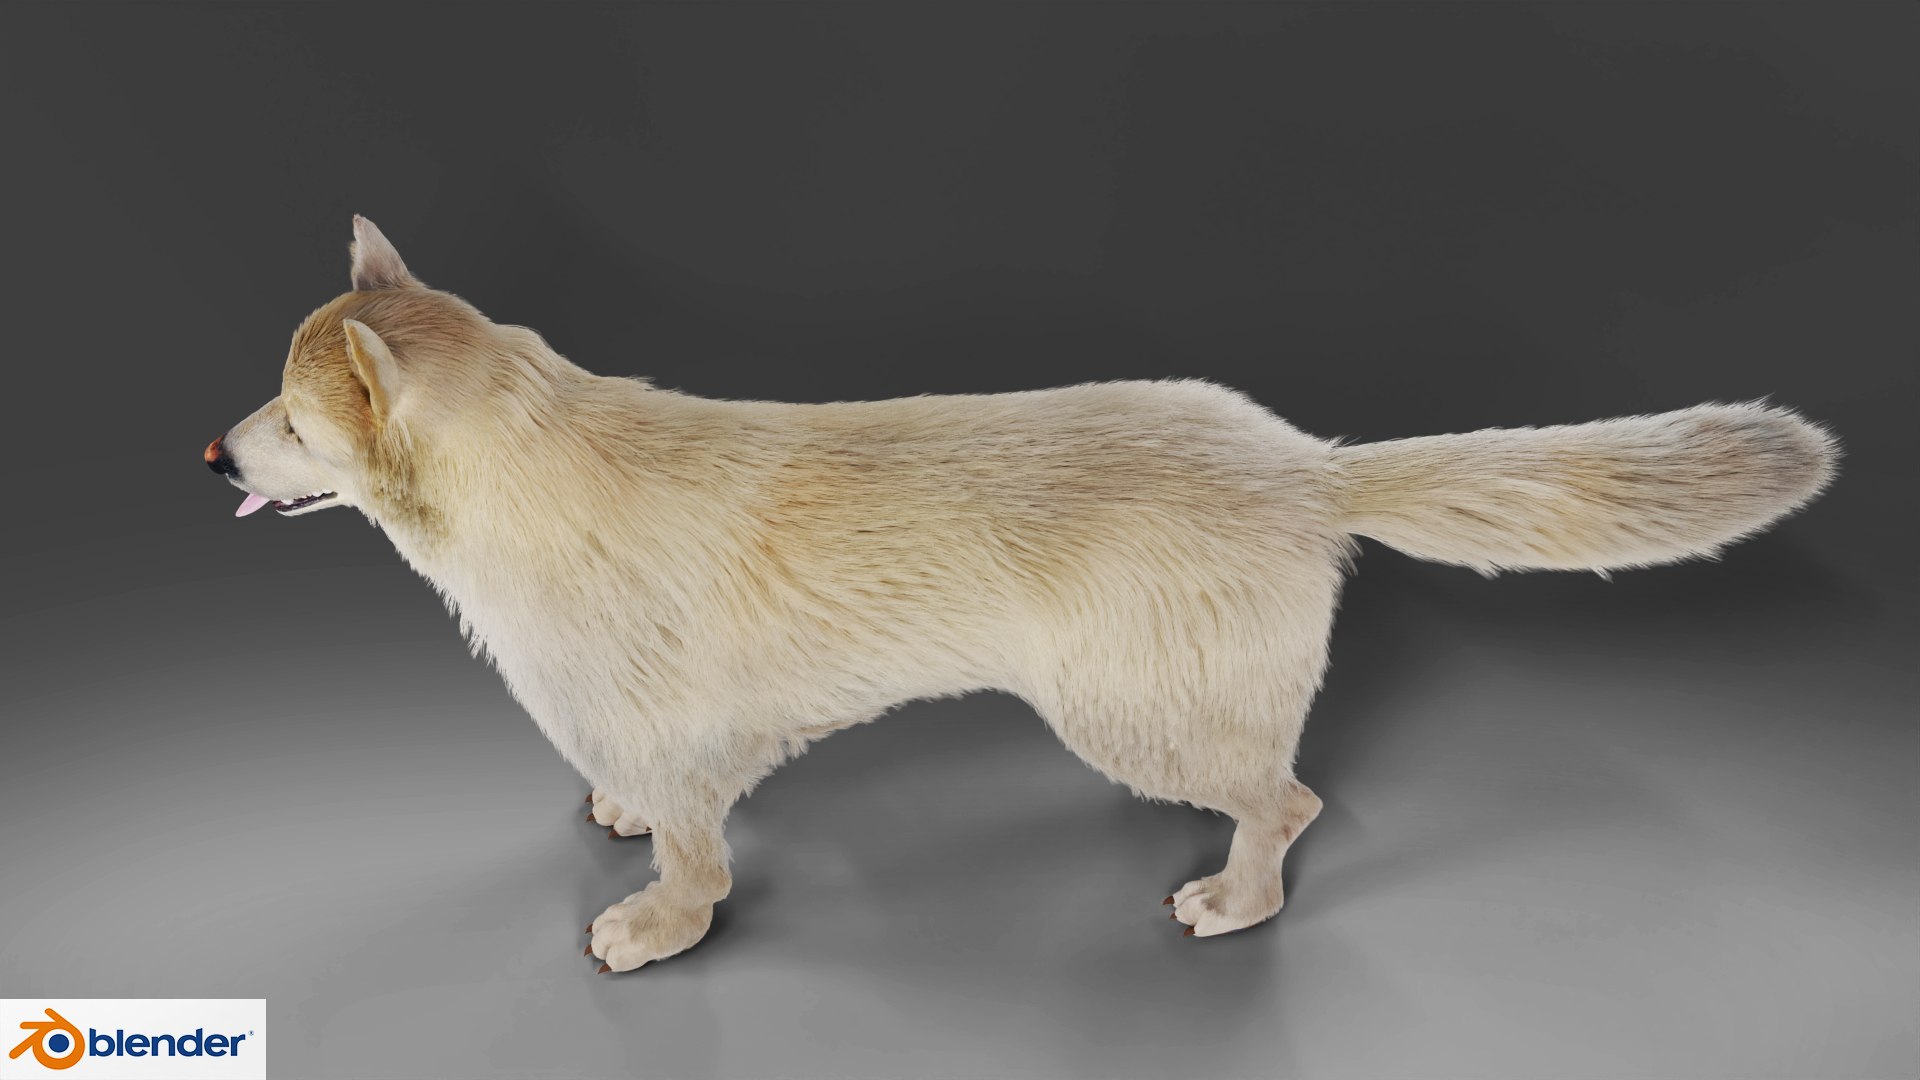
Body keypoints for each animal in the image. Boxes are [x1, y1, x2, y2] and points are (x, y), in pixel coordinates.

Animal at [203, 216, 1837, 972]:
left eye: (290, 414)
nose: (210, 450)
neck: (540, 473)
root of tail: (1305, 466)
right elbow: (651, 798)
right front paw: (614, 817)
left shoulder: (680, 738)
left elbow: (694, 858)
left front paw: (655, 925)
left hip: (1135, 714)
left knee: (1291, 799)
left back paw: (1235, 896)